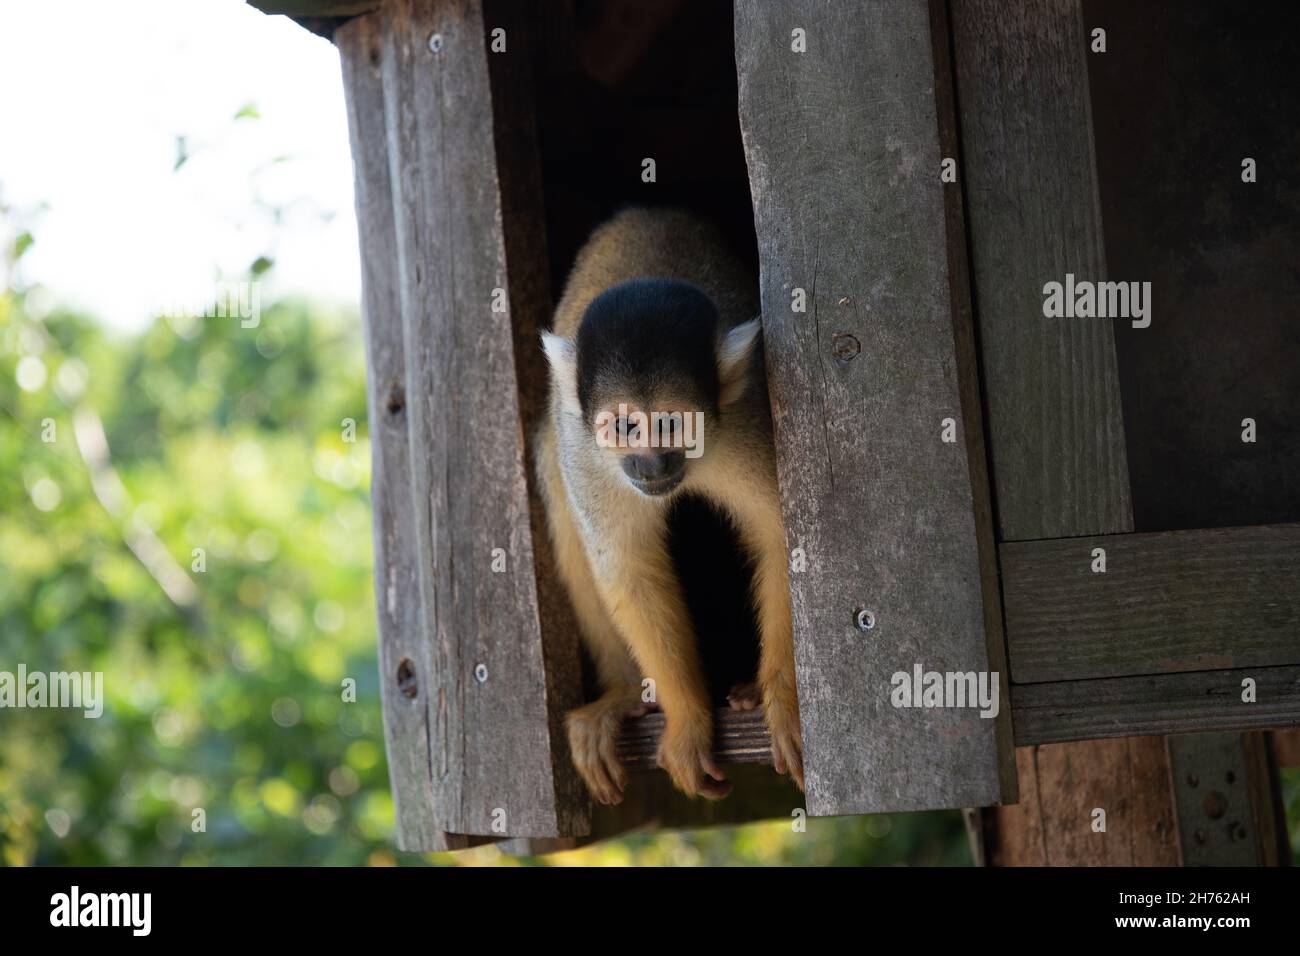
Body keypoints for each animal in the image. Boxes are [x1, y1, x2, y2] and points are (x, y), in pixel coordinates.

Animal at [535, 207, 802, 804]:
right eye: (626, 427)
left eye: (673, 424)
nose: (651, 465)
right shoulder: (587, 451)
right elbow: (625, 563)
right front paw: (687, 723)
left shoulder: (751, 417)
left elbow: (782, 540)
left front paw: (785, 703)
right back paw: (623, 695)